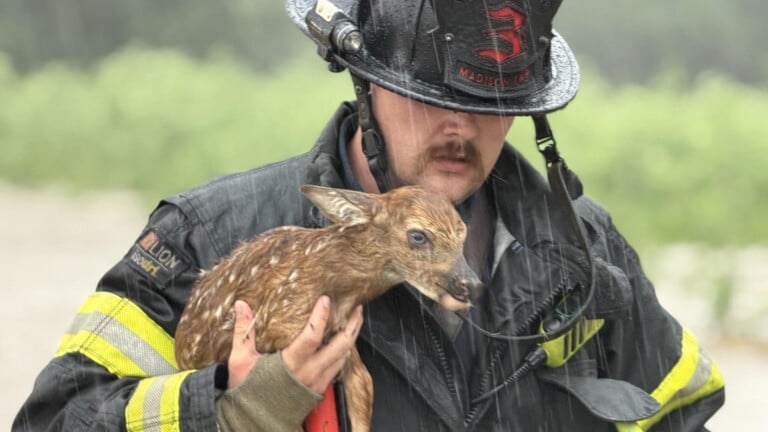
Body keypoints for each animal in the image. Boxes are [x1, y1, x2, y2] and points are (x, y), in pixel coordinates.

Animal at [174, 185, 481, 431]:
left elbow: (364, 385)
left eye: (463, 234)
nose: (472, 283)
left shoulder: (340, 330)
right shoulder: (277, 322)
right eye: (418, 236)